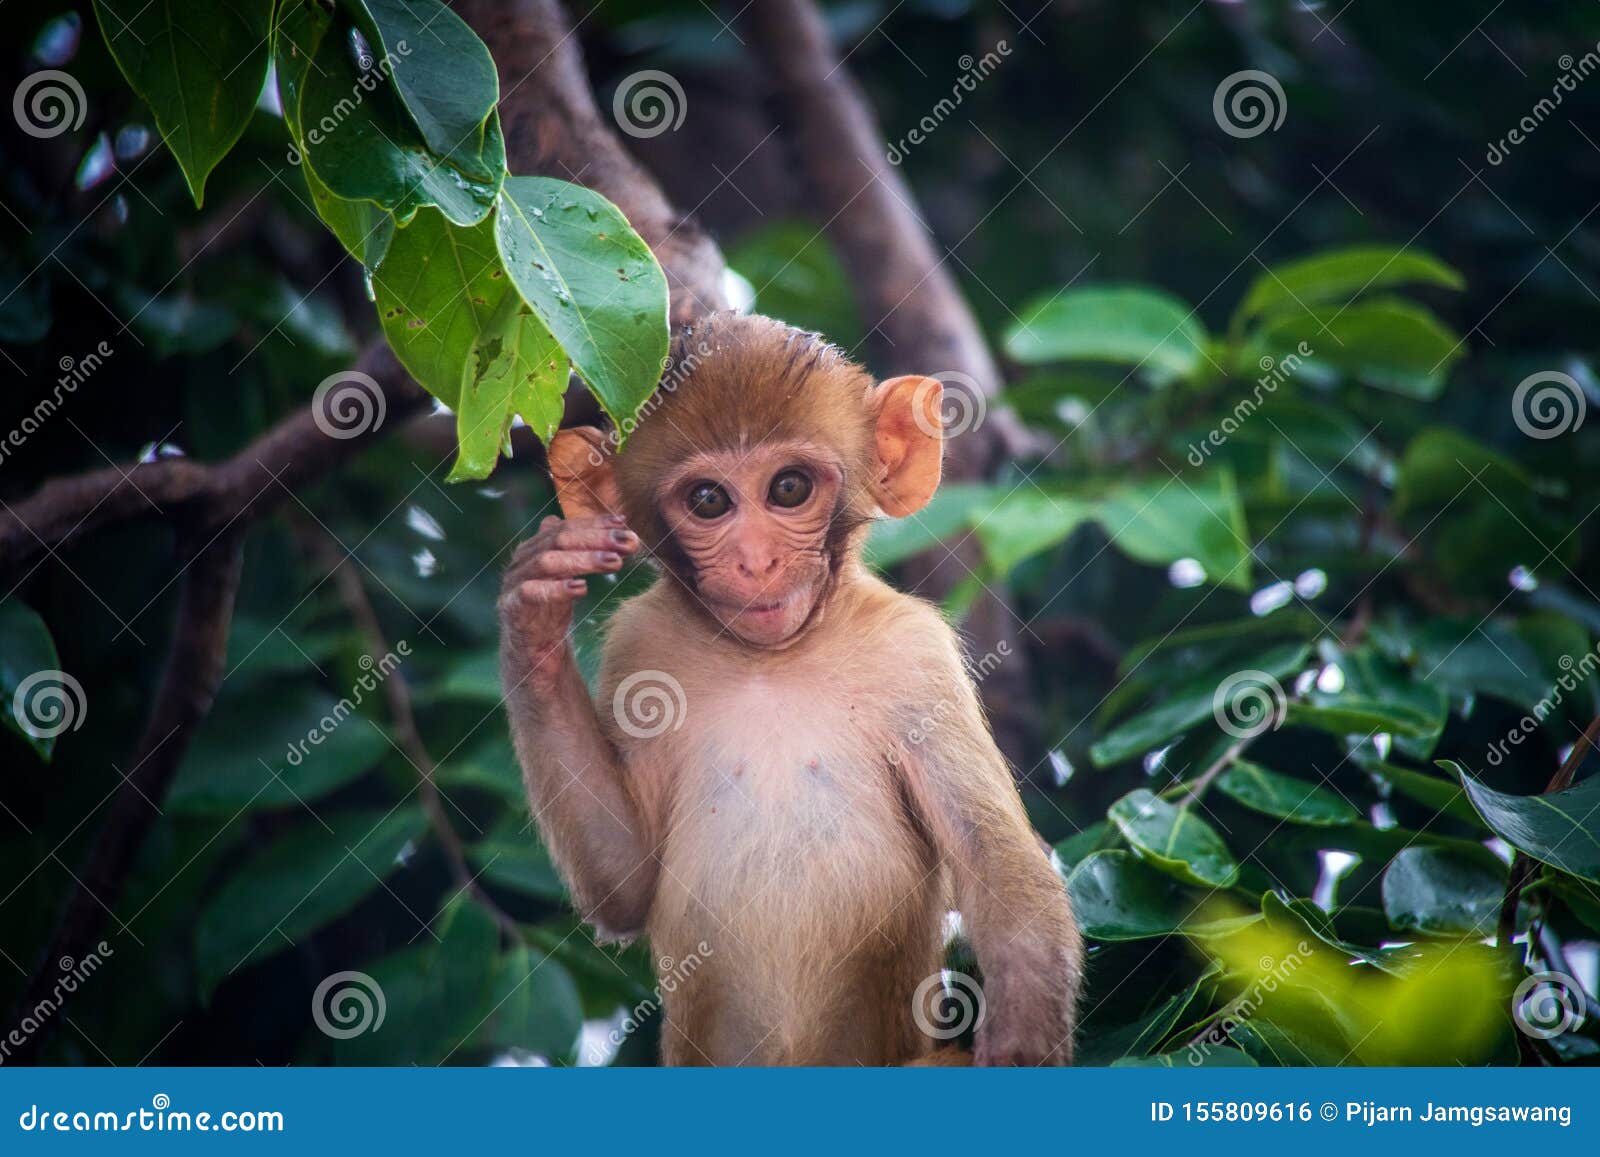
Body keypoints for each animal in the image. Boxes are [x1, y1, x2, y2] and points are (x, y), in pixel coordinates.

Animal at [498, 312, 1082, 1066]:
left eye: (789, 489)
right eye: (709, 501)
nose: (756, 561)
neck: (772, 661)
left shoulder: (916, 656)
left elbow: (1001, 869)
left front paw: (1018, 1050)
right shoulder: (639, 647)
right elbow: (623, 882)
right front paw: (534, 613)